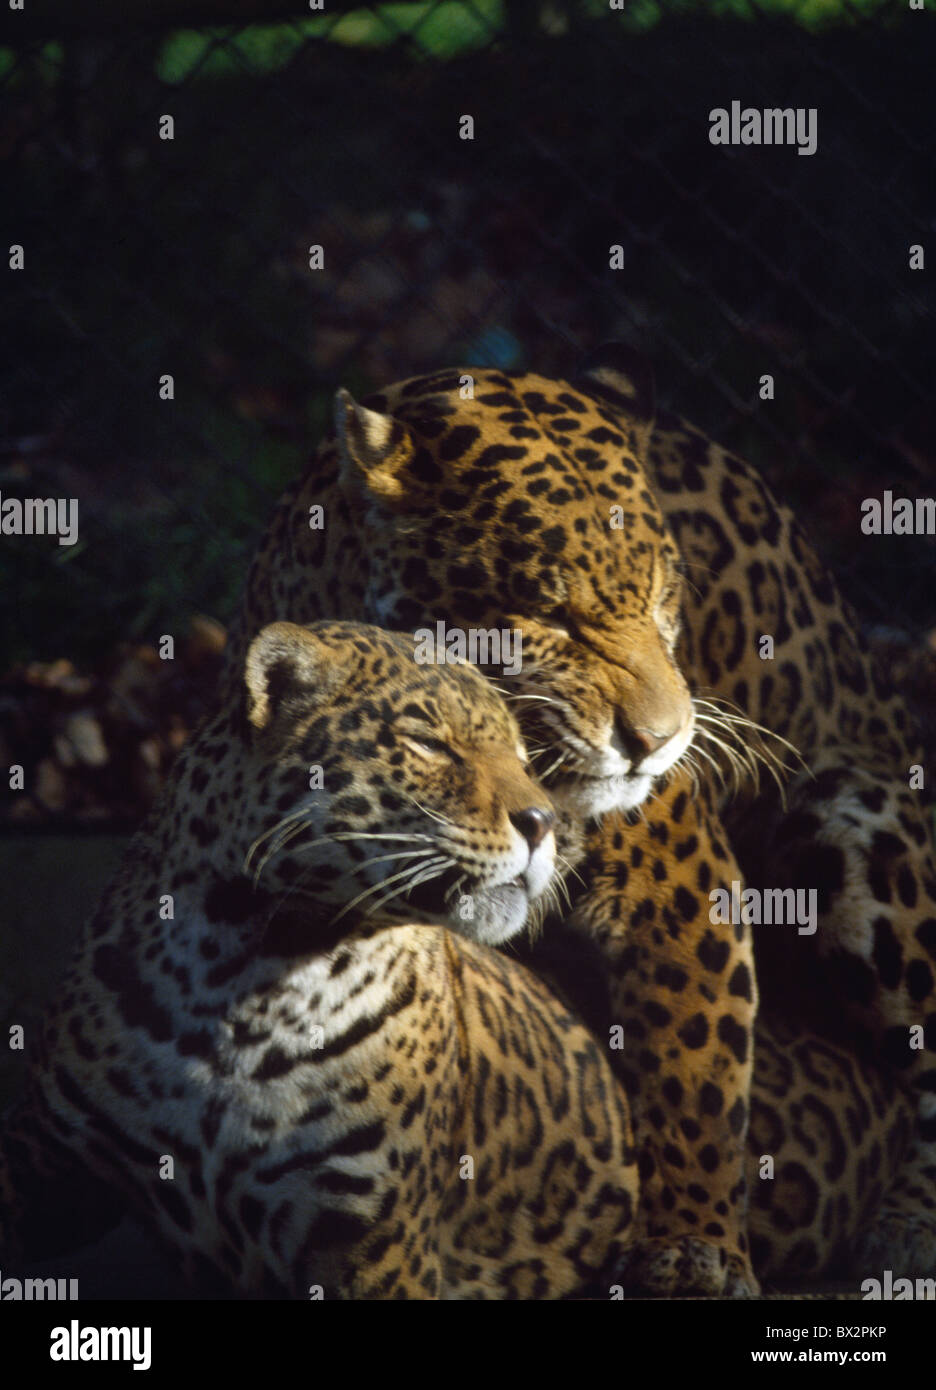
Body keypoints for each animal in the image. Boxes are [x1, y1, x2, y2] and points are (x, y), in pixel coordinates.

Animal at [224, 342, 936, 1296]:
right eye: (549, 616)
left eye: (664, 595)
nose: (662, 743)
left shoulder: (680, 878)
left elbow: (697, 1069)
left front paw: (692, 1250)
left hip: (848, 809)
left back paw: (908, 1230)